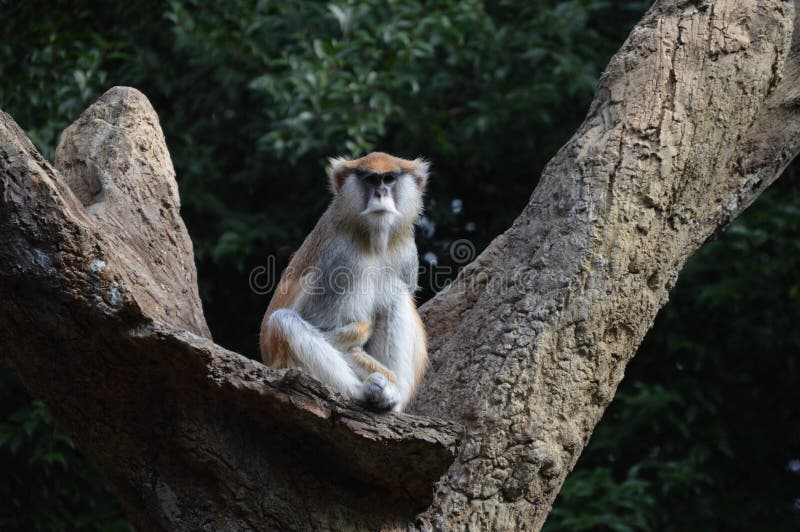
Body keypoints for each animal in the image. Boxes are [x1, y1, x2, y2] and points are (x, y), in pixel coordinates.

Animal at [259, 152, 429, 412]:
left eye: (389, 179)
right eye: (371, 180)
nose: (381, 194)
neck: (373, 238)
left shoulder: (408, 254)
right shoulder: (341, 262)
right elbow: (327, 330)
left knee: (395, 294)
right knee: (283, 321)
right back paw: (361, 392)